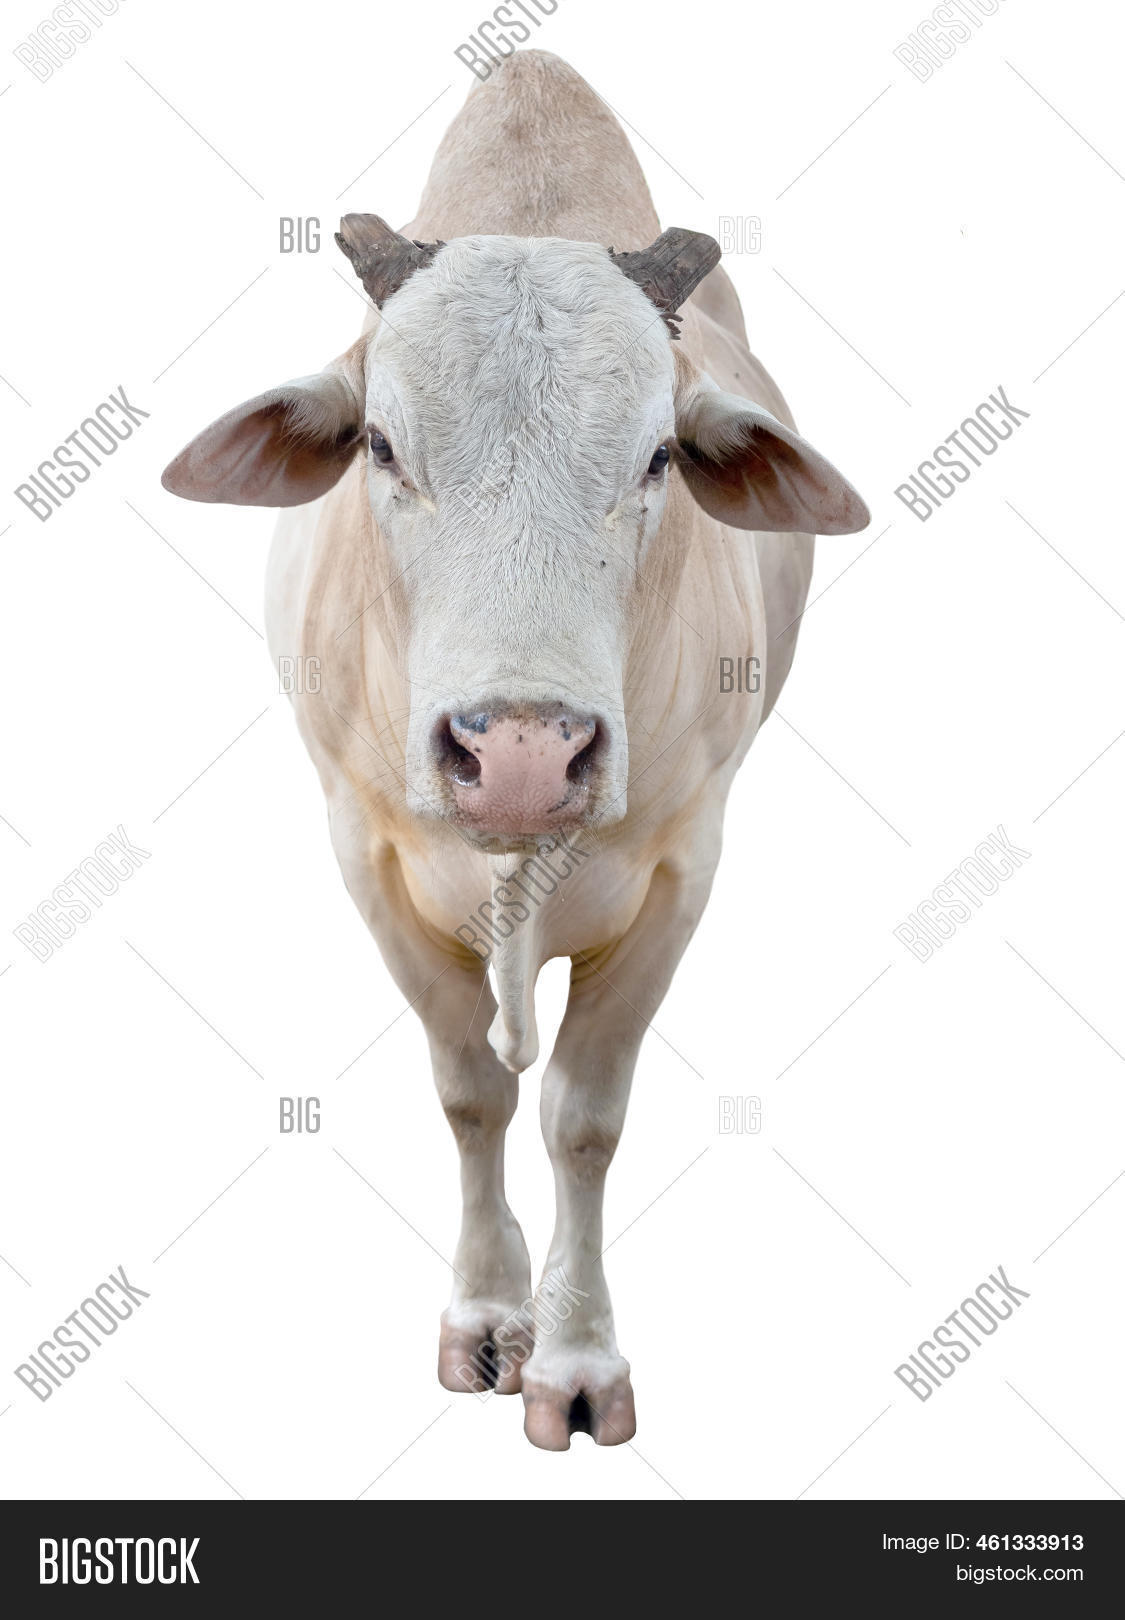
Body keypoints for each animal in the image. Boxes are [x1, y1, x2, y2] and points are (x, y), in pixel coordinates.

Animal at [162, 49, 869, 1449]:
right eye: (380, 446)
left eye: (659, 456)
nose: (527, 754)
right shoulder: (365, 855)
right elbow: (471, 1093)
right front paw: (489, 1318)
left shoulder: (683, 867)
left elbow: (582, 1120)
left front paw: (576, 1360)